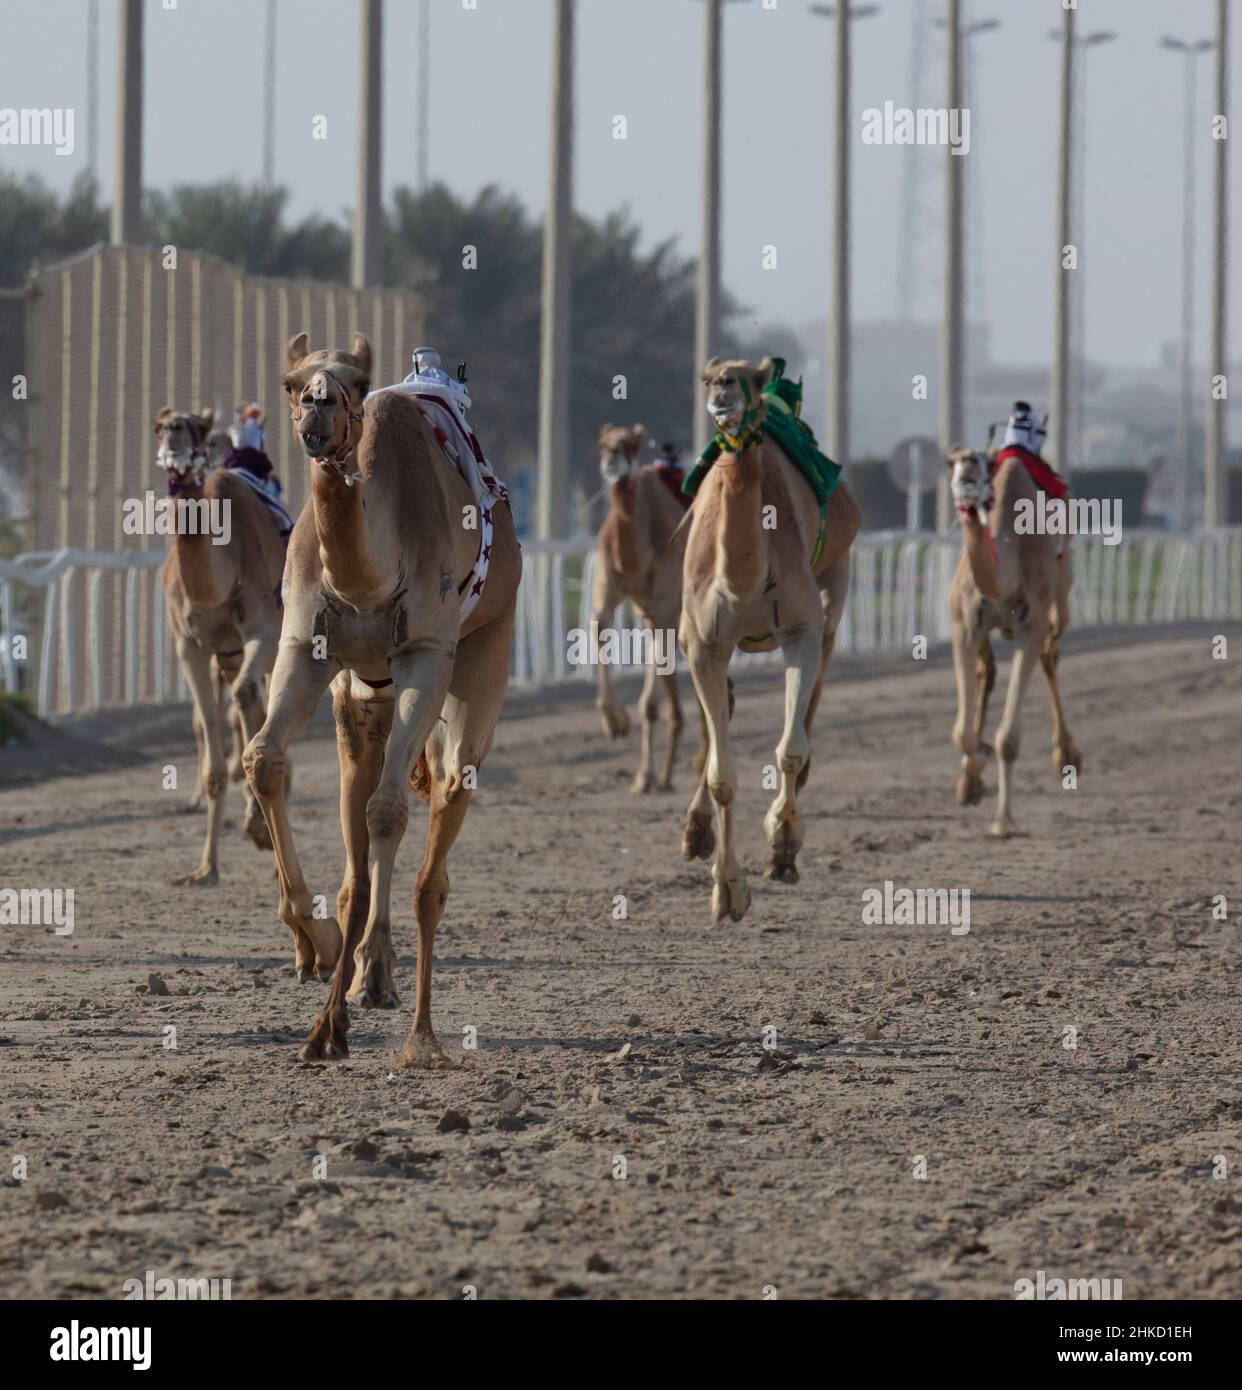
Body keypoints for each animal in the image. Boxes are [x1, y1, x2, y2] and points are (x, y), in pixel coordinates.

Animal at [157, 407, 284, 884]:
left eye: (196, 424)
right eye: (160, 425)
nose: (173, 433)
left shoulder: (264, 631)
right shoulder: (189, 646)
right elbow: (209, 737)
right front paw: (205, 868)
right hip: (226, 655)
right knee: (242, 707)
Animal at [242, 333, 521, 1067]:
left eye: (355, 383)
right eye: (291, 382)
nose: (317, 409)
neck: (366, 578)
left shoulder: (426, 651)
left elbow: (391, 812)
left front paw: (406, 1033)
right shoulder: (303, 648)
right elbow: (264, 762)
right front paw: (318, 961)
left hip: (485, 649)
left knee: (446, 794)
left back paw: (395, 993)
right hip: (362, 698)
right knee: (360, 812)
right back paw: (364, 973)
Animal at [591, 423, 695, 792]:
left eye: (631, 446)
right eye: (602, 443)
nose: (611, 458)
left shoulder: (663, 606)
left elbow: (649, 705)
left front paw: (644, 777)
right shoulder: (609, 588)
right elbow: (598, 626)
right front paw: (614, 723)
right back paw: (667, 775)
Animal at [678, 356, 860, 922]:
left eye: (751, 380)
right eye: (707, 376)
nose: (723, 391)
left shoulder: (800, 630)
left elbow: (790, 749)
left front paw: (782, 848)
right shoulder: (703, 643)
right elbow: (722, 775)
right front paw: (727, 892)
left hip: (834, 585)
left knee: (815, 694)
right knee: (724, 713)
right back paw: (695, 831)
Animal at [946, 443, 1081, 838]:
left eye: (979, 460)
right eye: (950, 460)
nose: (965, 470)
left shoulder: (1030, 625)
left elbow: (1008, 739)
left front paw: (1003, 821)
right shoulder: (964, 626)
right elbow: (962, 732)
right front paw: (972, 777)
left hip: (1061, 597)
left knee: (1051, 654)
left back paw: (1067, 755)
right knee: (987, 671)